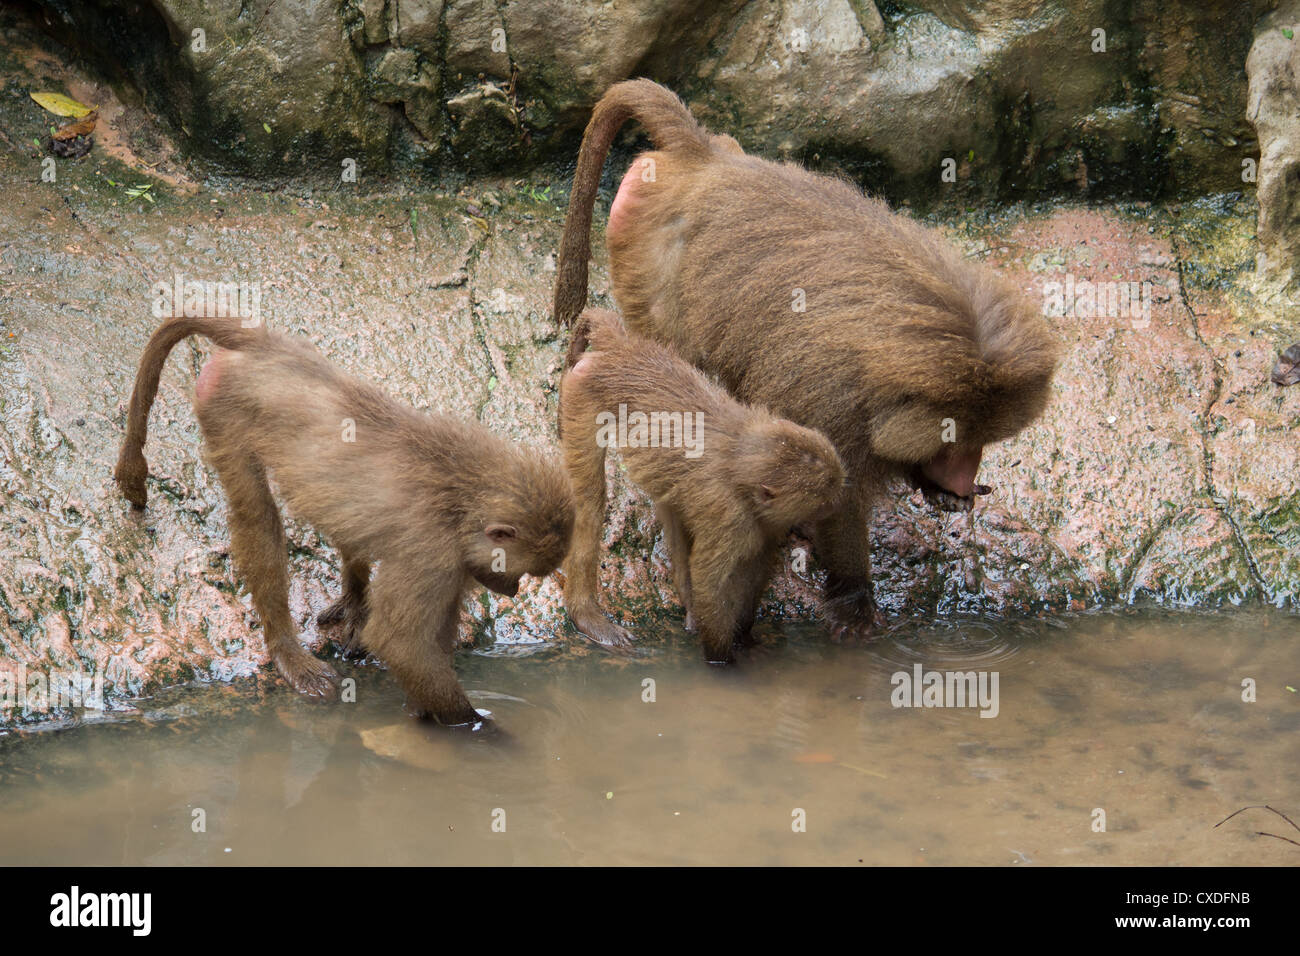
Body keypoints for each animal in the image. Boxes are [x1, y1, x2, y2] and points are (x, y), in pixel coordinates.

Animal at [113, 316, 574, 726]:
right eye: (524, 572)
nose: (513, 591)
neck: (463, 500)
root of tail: (272, 349)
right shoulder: (433, 553)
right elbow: (401, 644)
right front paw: (478, 729)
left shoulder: (456, 561)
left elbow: (431, 641)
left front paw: (423, 715)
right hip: (224, 398)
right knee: (256, 513)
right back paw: (287, 650)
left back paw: (354, 599)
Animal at [559, 307, 845, 661]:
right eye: (825, 499)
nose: (840, 504)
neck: (740, 457)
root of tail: (625, 348)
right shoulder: (730, 516)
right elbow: (712, 581)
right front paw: (723, 660)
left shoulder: (765, 519)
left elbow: (755, 568)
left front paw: (746, 637)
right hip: (583, 391)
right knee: (590, 501)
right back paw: (586, 616)